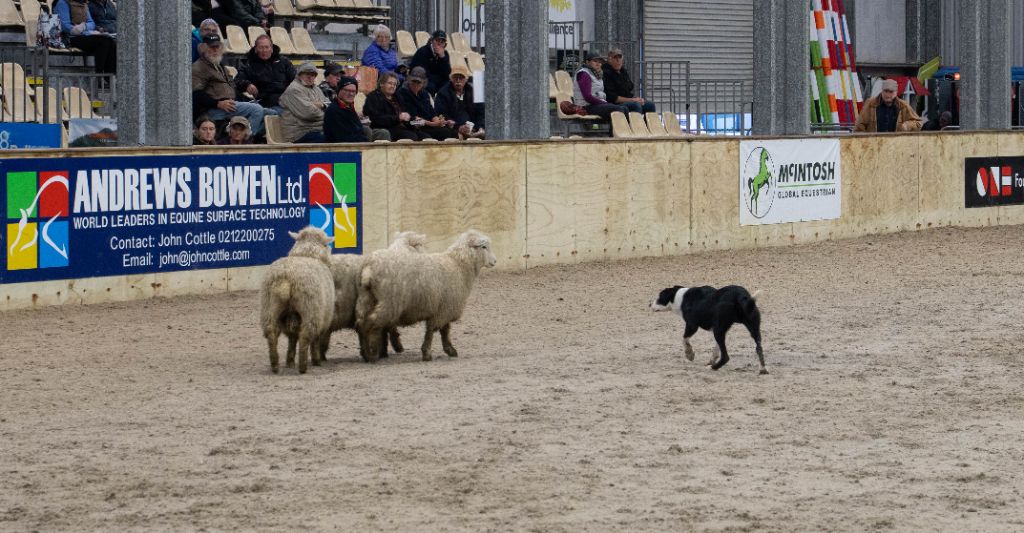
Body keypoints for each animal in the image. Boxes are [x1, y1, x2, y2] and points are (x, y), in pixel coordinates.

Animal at [259, 226, 335, 374]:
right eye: (327, 245)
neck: (307, 255)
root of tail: (286, 278)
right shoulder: (323, 316)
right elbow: (315, 339)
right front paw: (316, 360)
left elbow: (292, 338)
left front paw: (289, 362)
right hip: (311, 310)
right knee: (306, 336)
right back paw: (303, 366)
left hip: (269, 307)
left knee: (271, 332)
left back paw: (275, 365)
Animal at [319, 231, 428, 362]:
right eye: (421, 245)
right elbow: (389, 328)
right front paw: (395, 347)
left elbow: (384, 330)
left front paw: (385, 351)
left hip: (362, 302)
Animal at [356, 229, 497, 362]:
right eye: (484, 247)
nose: (495, 261)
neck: (457, 265)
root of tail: (368, 270)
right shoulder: (444, 309)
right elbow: (434, 331)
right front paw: (428, 353)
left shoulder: (443, 307)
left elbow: (444, 330)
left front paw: (449, 349)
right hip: (389, 303)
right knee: (370, 324)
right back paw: (370, 353)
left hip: (367, 300)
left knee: (365, 324)